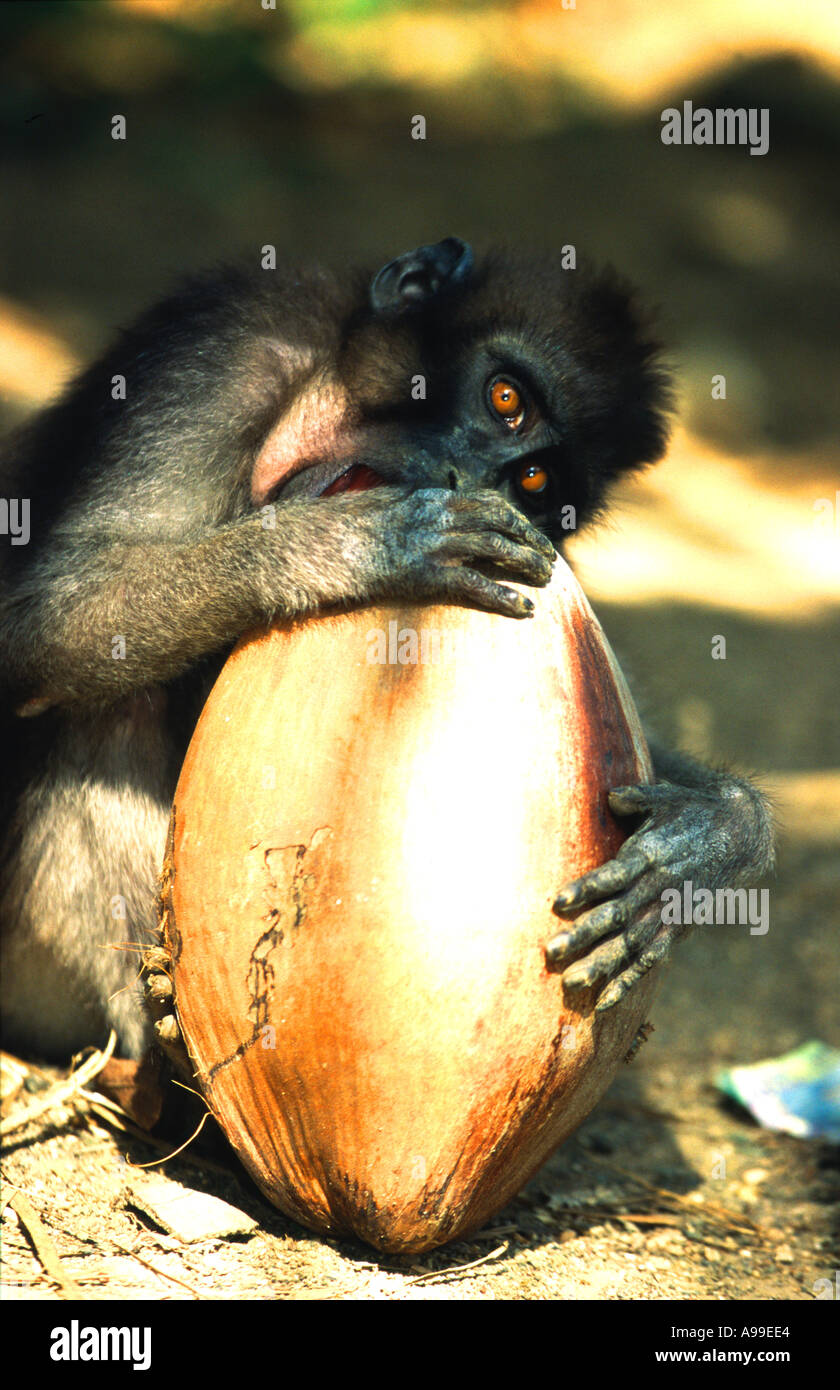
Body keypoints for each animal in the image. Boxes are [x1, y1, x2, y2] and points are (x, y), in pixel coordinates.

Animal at [0, 237, 774, 1061]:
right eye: (506, 400)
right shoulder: (224, 347)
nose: (469, 478)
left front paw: (715, 837)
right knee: (113, 704)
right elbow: (51, 614)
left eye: (533, 481)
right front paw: (369, 543)